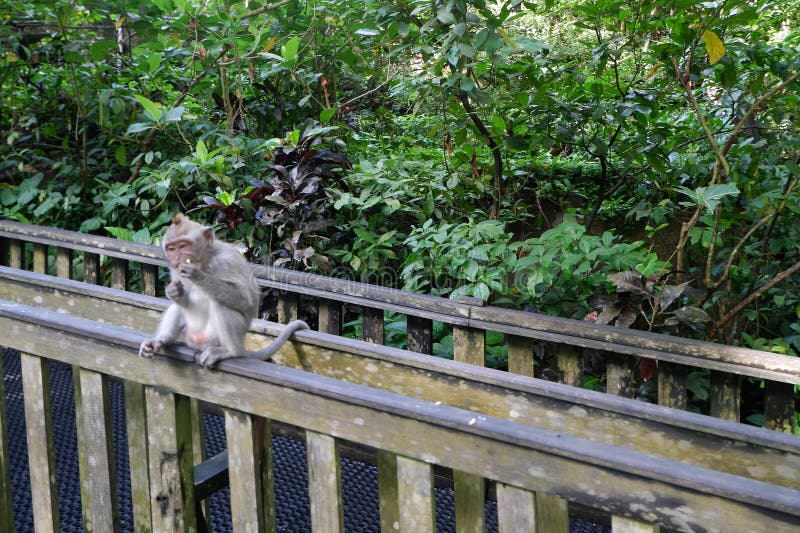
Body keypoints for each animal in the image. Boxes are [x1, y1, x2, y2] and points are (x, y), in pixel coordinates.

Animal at [138, 213, 309, 368]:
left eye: (183, 246)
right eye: (172, 248)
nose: (177, 258)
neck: (205, 260)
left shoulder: (224, 262)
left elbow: (244, 299)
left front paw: (196, 275)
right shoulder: (175, 271)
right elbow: (181, 299)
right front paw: (173, 292)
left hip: (217, 339)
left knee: (220, 303)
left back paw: (230, 352)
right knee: (178, 308)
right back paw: (160, 341)